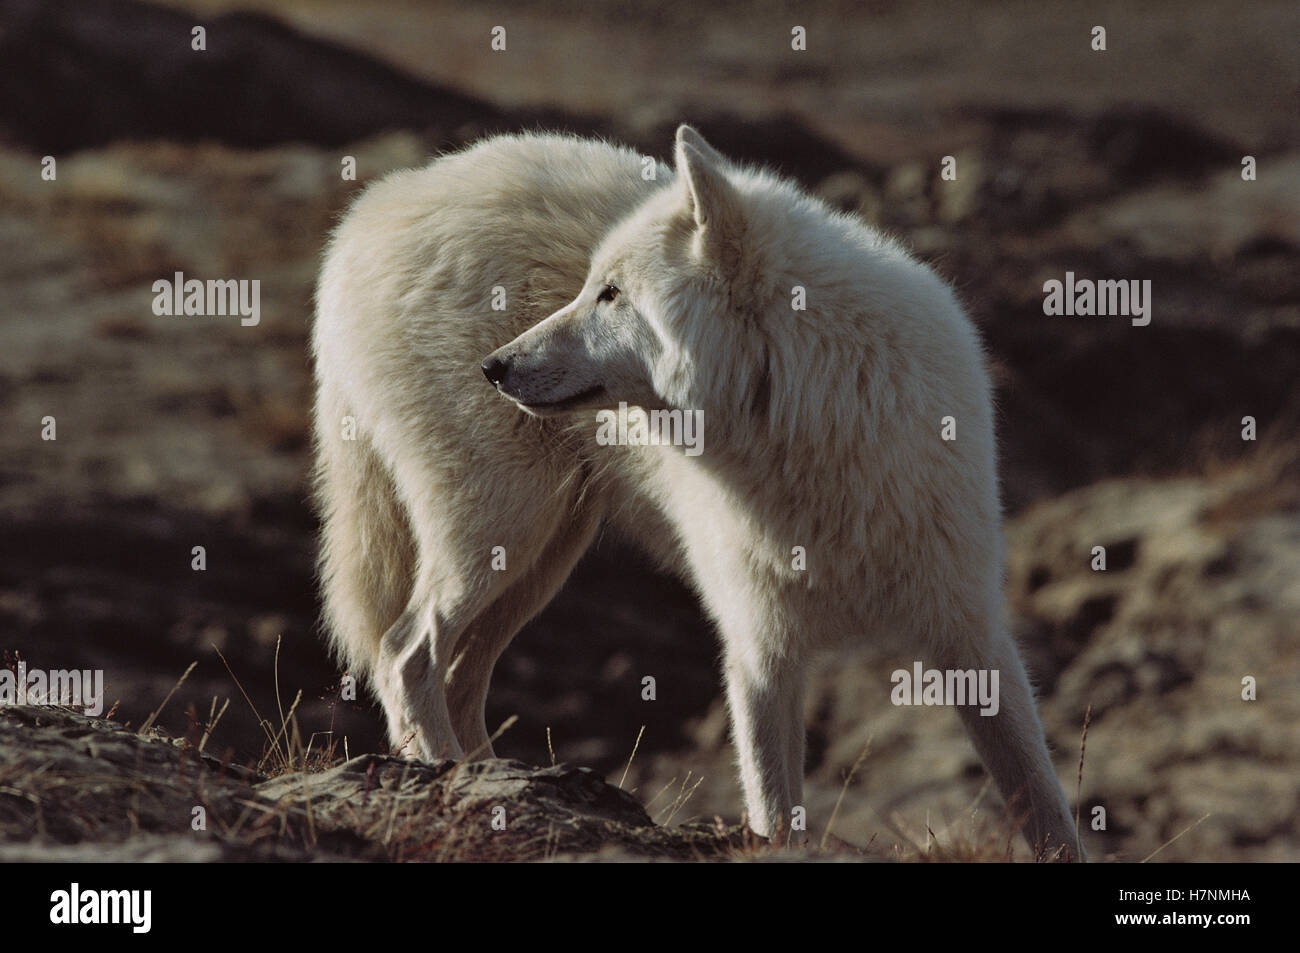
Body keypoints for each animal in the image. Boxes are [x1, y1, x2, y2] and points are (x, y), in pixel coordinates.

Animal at [311, 125, 1082, 859]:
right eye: (591, 285)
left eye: (610, 293)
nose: (493, 367)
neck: (804, 422)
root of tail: (370, 212)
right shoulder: (759, 648)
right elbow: (775, 809)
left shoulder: (969, 629)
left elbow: (1043, 801)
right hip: (500, 530)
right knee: (405, 650)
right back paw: (446, 773)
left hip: (541, 554)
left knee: (456, 672)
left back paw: (489, 778)